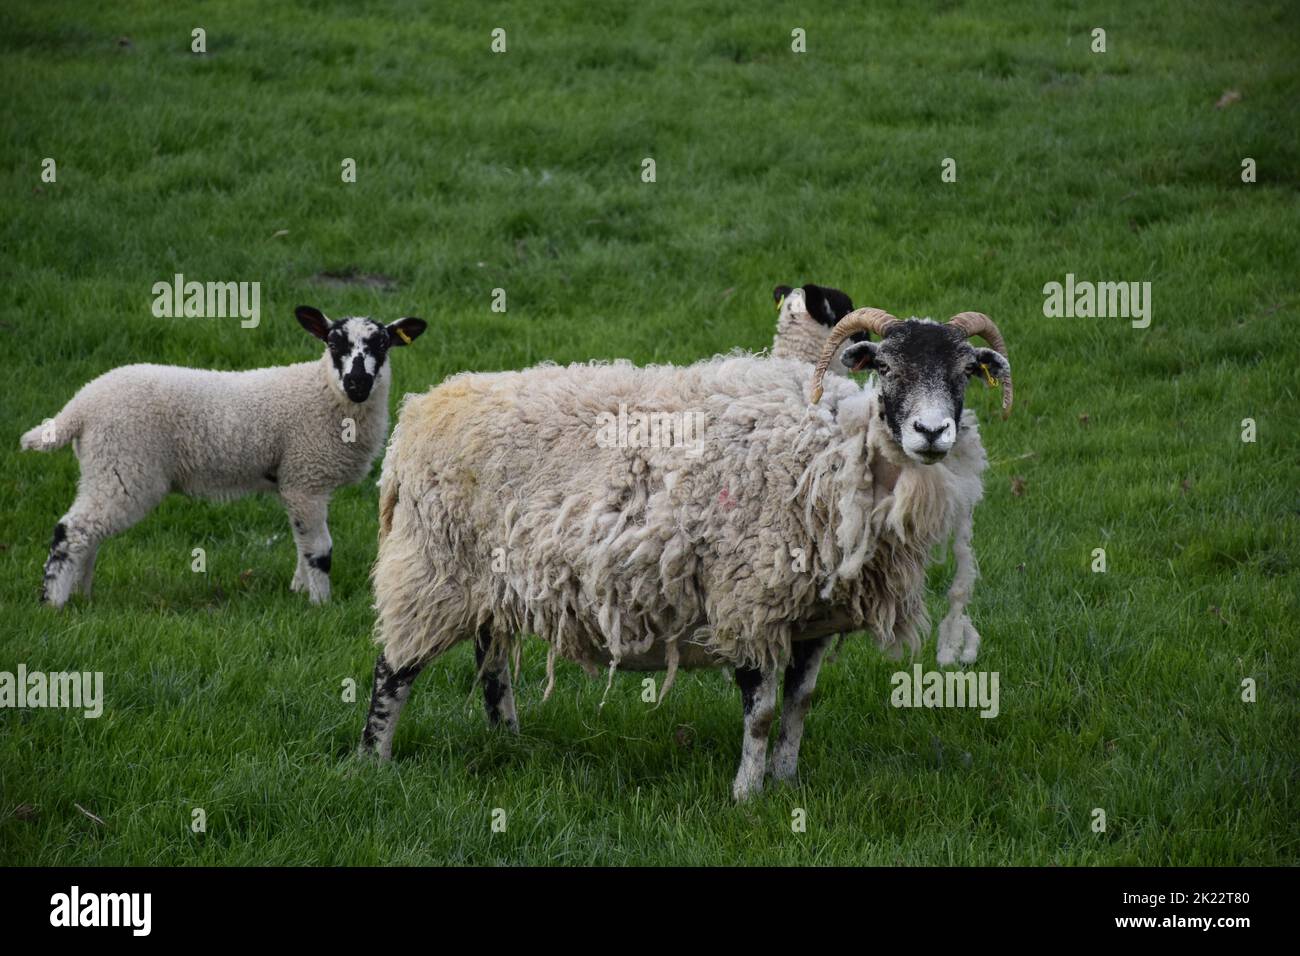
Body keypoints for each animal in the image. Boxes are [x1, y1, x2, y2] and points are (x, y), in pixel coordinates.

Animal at [19, 306, 426, 608]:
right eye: (333, 343)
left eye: (383, 344)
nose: (358, 383)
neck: (324, 392)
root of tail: (80, 406)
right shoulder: (305, 477)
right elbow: (319, 550)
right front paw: (320, 604)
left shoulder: (299, 482)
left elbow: (301, 545)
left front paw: (299, 591)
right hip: (124, 466)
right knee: (71, 530)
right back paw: (53, 602)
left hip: (102, 468)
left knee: (89, 534)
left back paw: (82, 596)